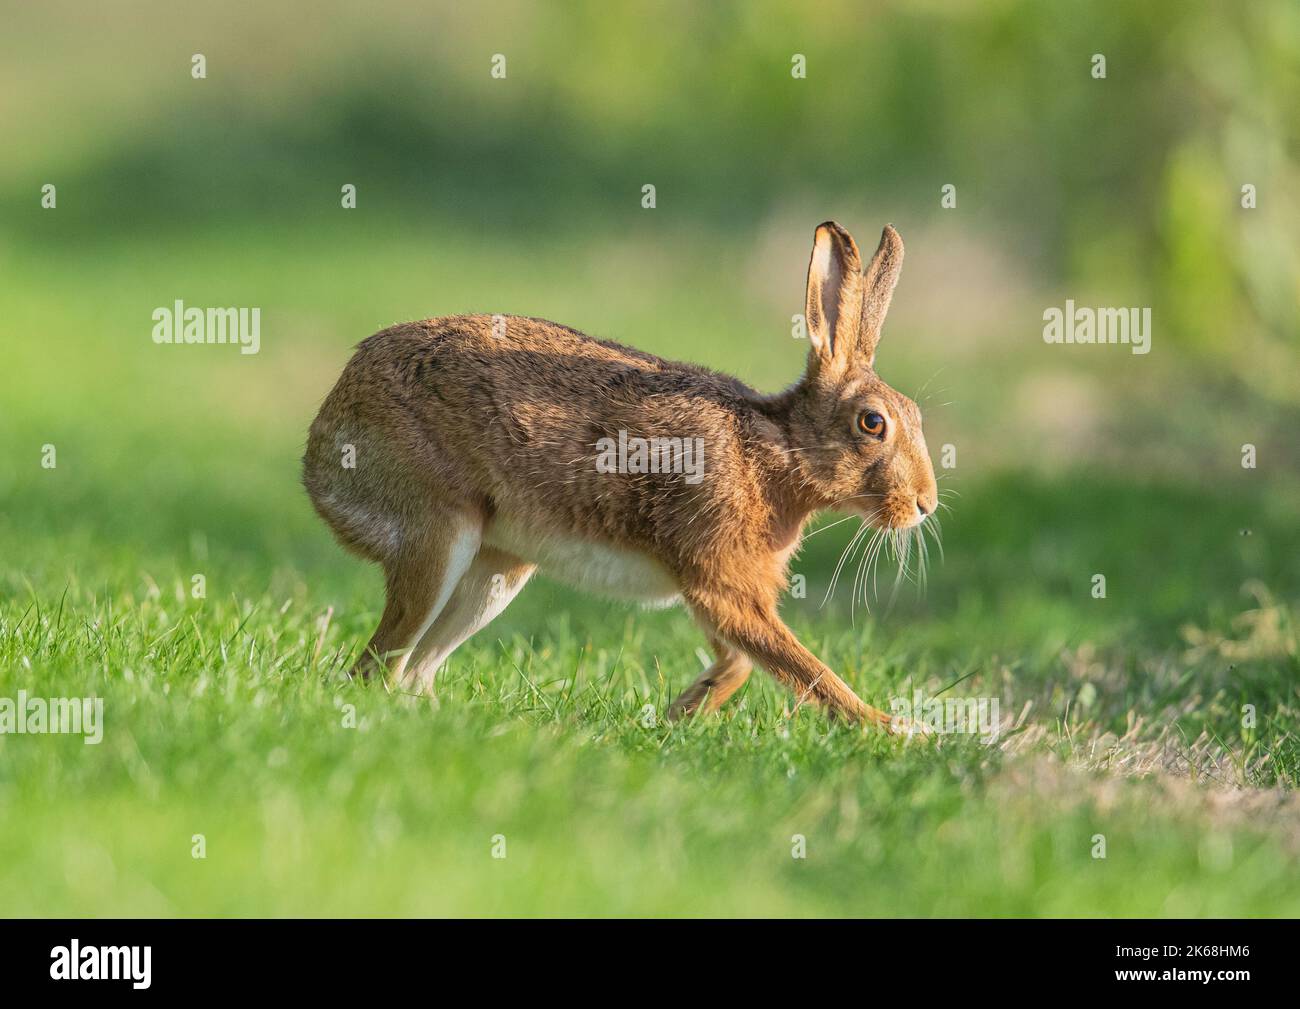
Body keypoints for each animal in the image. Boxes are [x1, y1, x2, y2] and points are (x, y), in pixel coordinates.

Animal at [302, 221, 938, 729]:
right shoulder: (720, 578)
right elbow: (803, 668)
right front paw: (894, 730)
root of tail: (320, 450)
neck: (777, 451)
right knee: (377, 667)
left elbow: (738, 660)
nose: (925, 505)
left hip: (499, 568)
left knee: (411, 672)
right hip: (440, 534)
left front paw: (685, 708)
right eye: (873, 422)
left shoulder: (712, 586)